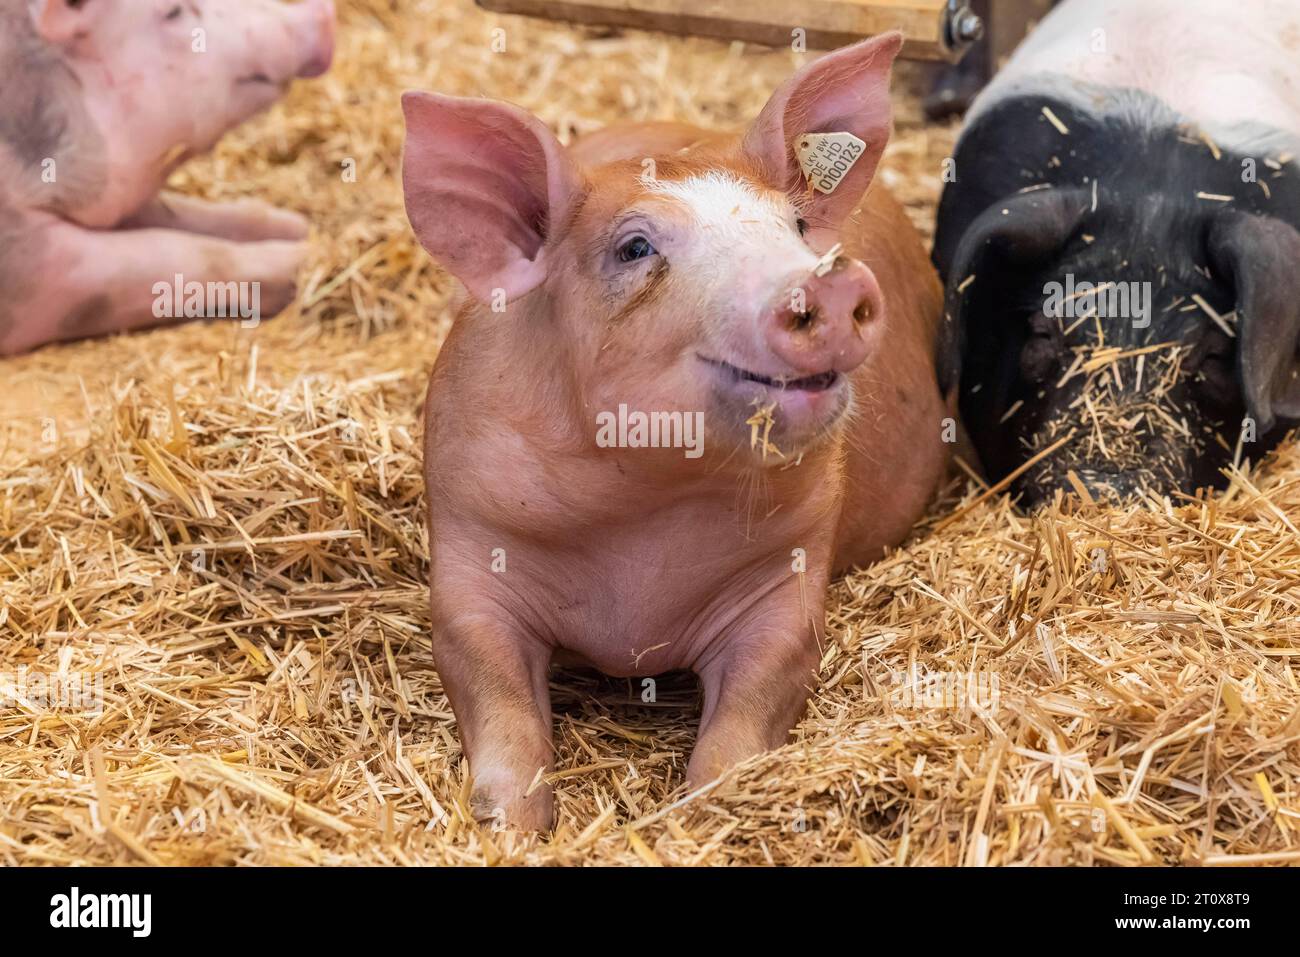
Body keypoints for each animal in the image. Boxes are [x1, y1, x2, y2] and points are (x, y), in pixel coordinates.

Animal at [0, 0, 335, 356]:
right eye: (173, 12)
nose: (323, 13)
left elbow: (187, 215)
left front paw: (300, 228)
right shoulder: (35, 272)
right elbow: (178, 252)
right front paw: (306, 257)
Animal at [402, 34, 951, 829]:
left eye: (794, 228)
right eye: (635, 248)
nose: (830, 281)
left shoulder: (789, 575)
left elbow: (754, 703)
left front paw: (696, 815)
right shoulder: (468, 545)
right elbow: (492, 691)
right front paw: (508, 827)